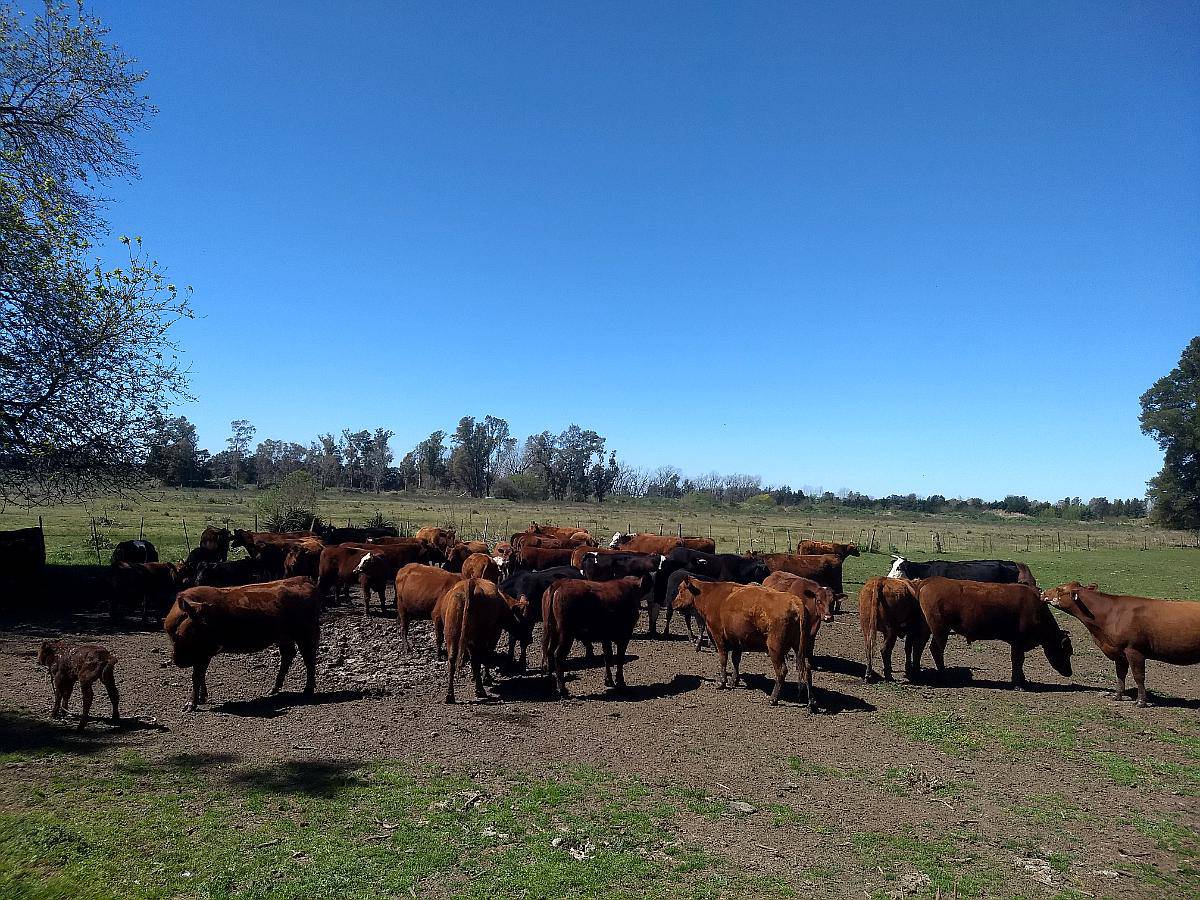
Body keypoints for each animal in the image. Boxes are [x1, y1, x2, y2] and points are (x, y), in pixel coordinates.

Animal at [164, 577, 321, 710]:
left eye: (204, 624)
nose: (177, 660)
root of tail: (301, 579)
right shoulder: (203, 654)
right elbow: (200, 675)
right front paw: (201, 697)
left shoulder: (203, 653)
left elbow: (196, 677)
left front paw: (192, 703)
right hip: (284, 638)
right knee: (288, 656)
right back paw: (275, 688)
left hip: (306, 635)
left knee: (309, 660)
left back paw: (308, 690)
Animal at [671, 578, 815, 709]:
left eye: (681, 590)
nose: (673, 604)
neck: (710, 594)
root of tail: (796, 602)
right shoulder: (737, 641)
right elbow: (735, 660)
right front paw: (734, 680)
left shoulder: (718, 637)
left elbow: (723, 659)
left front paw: (722, 682)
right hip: (803, 648)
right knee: (807, 669)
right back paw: (811, 702)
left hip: (775, 648)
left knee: (781, 671)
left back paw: (773, 699)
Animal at [915, 577, 1072, 689]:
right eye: (1066, 652)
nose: (1070, 672)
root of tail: (931, 580)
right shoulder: (1018, 642)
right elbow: (1018, 661)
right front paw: (1018, 684)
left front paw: (1022, 680)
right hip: (940, 630)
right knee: (936, 650)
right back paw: (945, 677)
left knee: (920, 646)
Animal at [1042, 582, 1200, 707]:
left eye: (1059, 589)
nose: (1043, 592)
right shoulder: (1118, 653)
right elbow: (1120, 674)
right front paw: (1118, 696)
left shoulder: (1134, 651)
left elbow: (1138, 676)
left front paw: (1141, 702)